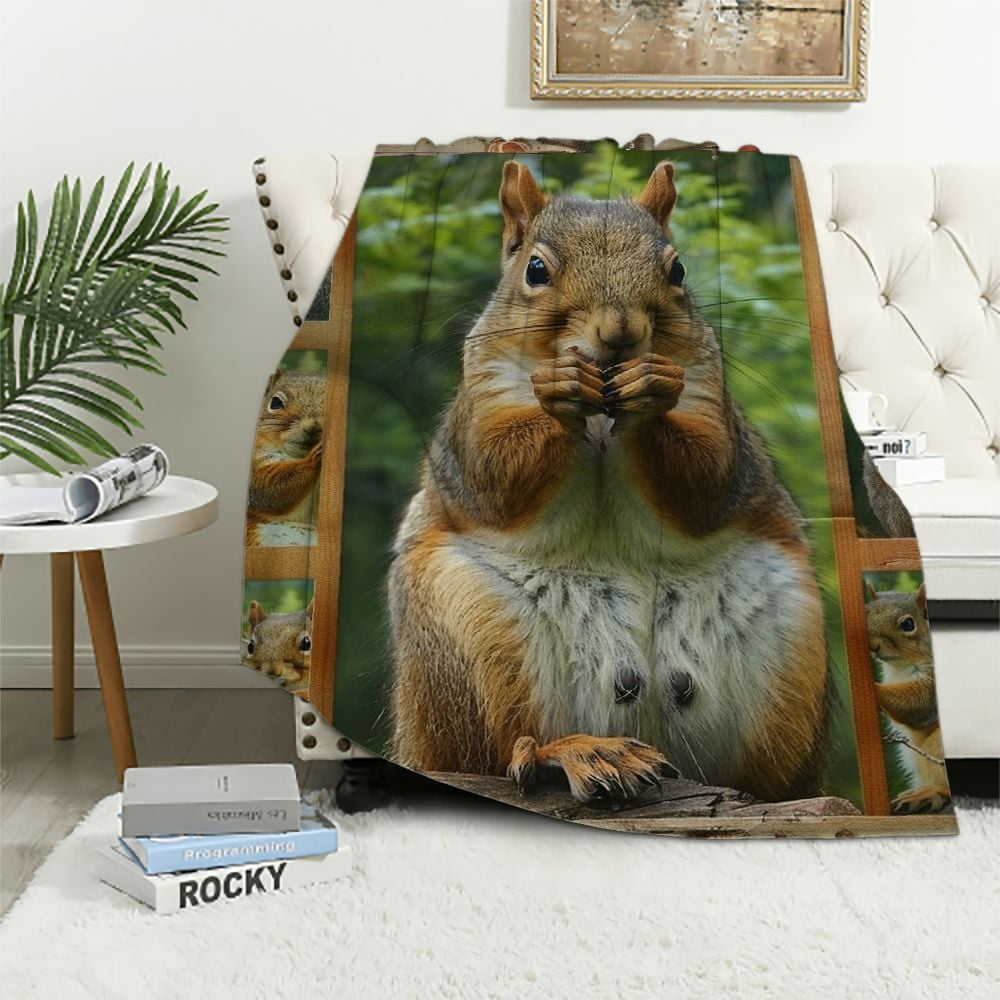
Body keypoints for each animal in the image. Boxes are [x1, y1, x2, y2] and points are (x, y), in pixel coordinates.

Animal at [387, 160, 829, 803]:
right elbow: (496, 473)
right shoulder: (479, 402)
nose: (620, 332)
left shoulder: (710, 399)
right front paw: (560, 387)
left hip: (792, 650)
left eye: (677, 269)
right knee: (492, 757)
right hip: (465, 643)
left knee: (767, 782)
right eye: (535, 269)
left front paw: (651, 386)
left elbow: (708, 475)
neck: (602, 412)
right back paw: (577, 753)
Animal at [864, 581, 950, 813]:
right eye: (865, 613)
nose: (873, 645)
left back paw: (930, 793)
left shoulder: (932, 685)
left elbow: (918, 702)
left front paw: (871, 687)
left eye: (907, 624)